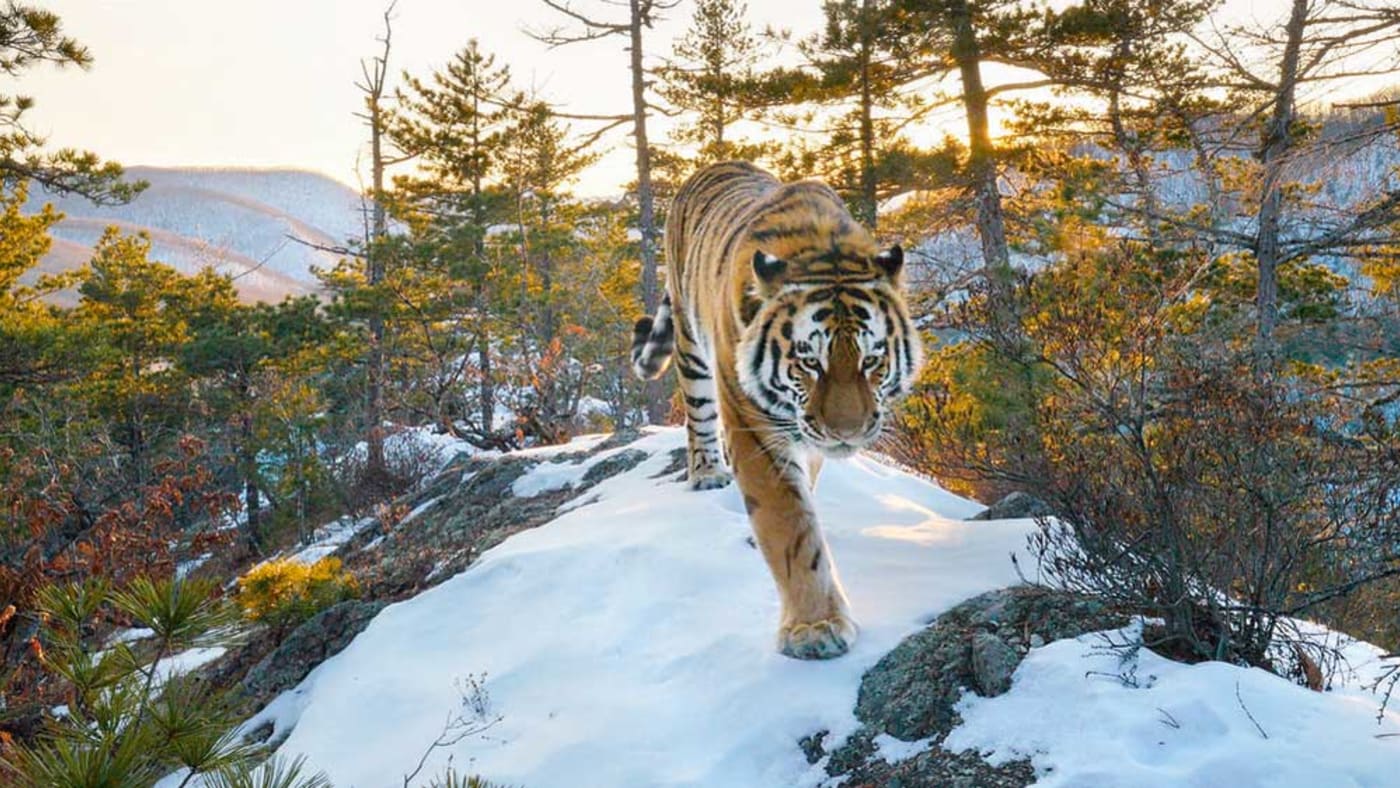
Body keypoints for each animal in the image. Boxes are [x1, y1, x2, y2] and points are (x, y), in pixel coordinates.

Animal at [630, 161, 923, 660]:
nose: (848, 432)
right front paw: (815, 627)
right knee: (698, 419)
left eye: (871, 360)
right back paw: (706, 472)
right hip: (692, 349)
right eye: (810, 362)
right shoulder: (754, 427)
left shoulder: (810, 435)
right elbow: (790, 528)